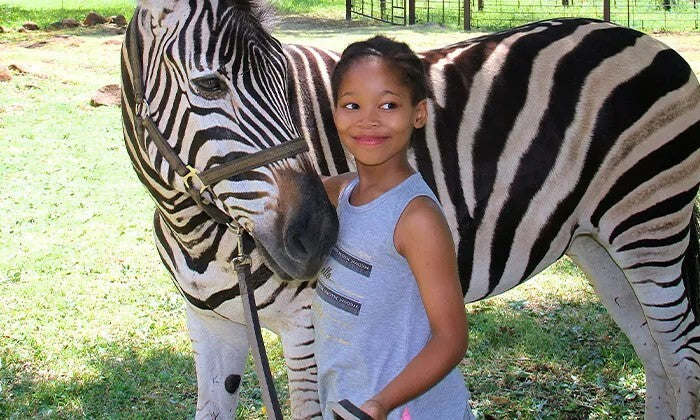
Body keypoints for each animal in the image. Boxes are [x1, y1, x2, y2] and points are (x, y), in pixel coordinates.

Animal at [122, 1, 700, 419]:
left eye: (286, 81)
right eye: (209, 84)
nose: (319, 235)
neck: (195, 227)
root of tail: (644, 39)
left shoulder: (308, 323)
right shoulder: (210, 322)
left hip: (648, 227)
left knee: (683, 353)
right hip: (595, 243)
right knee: (655, 356)